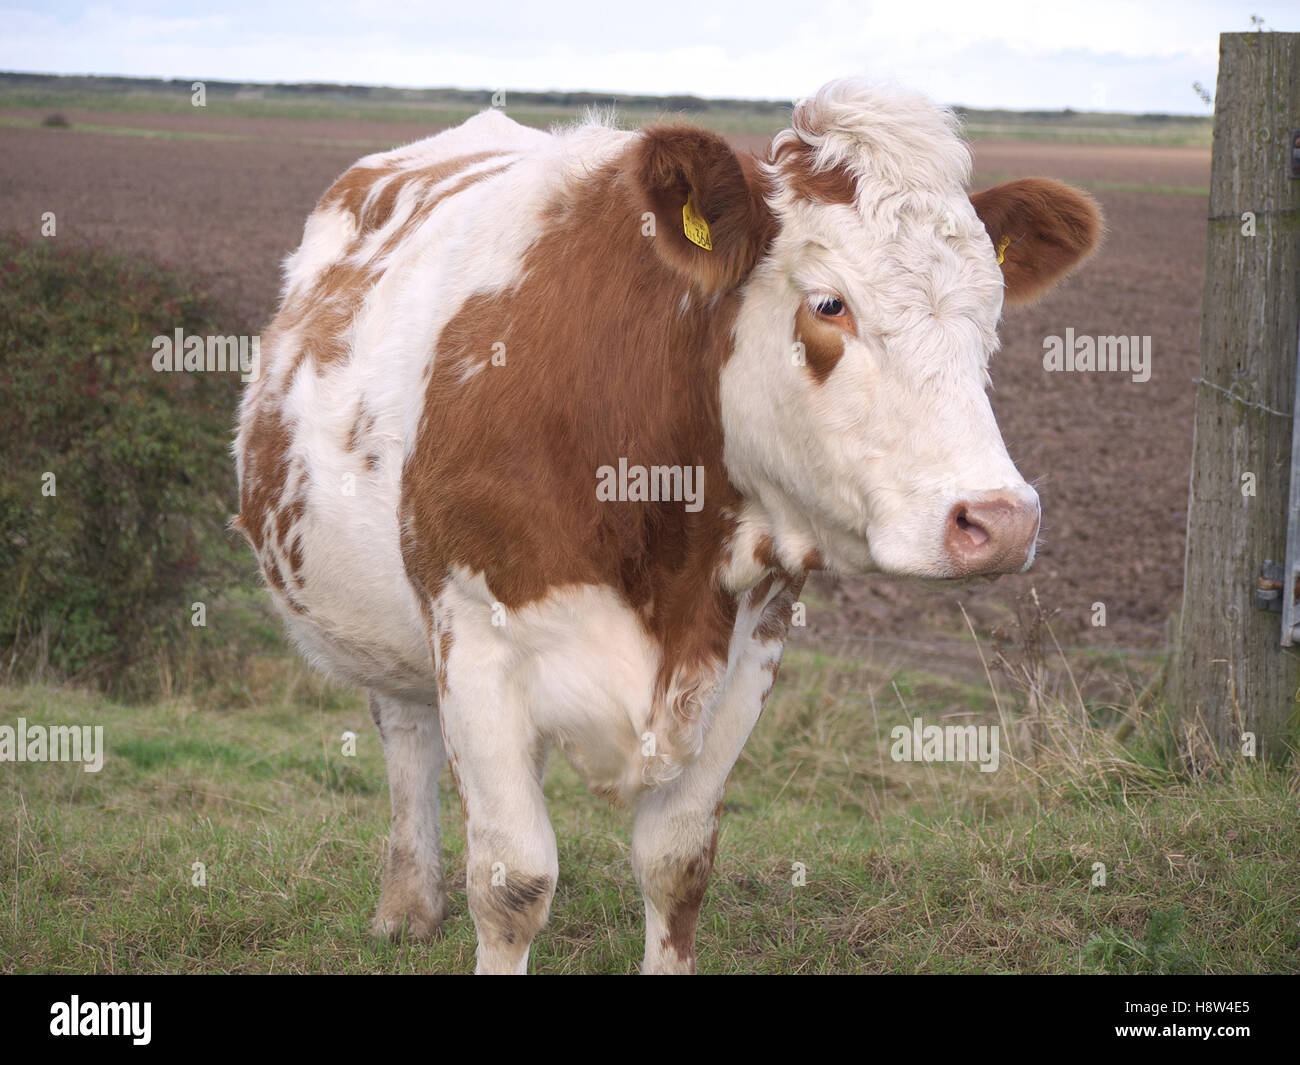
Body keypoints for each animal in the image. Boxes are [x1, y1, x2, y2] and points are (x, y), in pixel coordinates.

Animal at [234, 78, 1102, 974]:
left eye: (990, 311)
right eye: (829, 303)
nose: (1000, 518)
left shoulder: (749, 652)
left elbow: (676, 863)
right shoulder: (475, 645)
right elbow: (512, 883)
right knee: (405, 731)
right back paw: (408, 904)